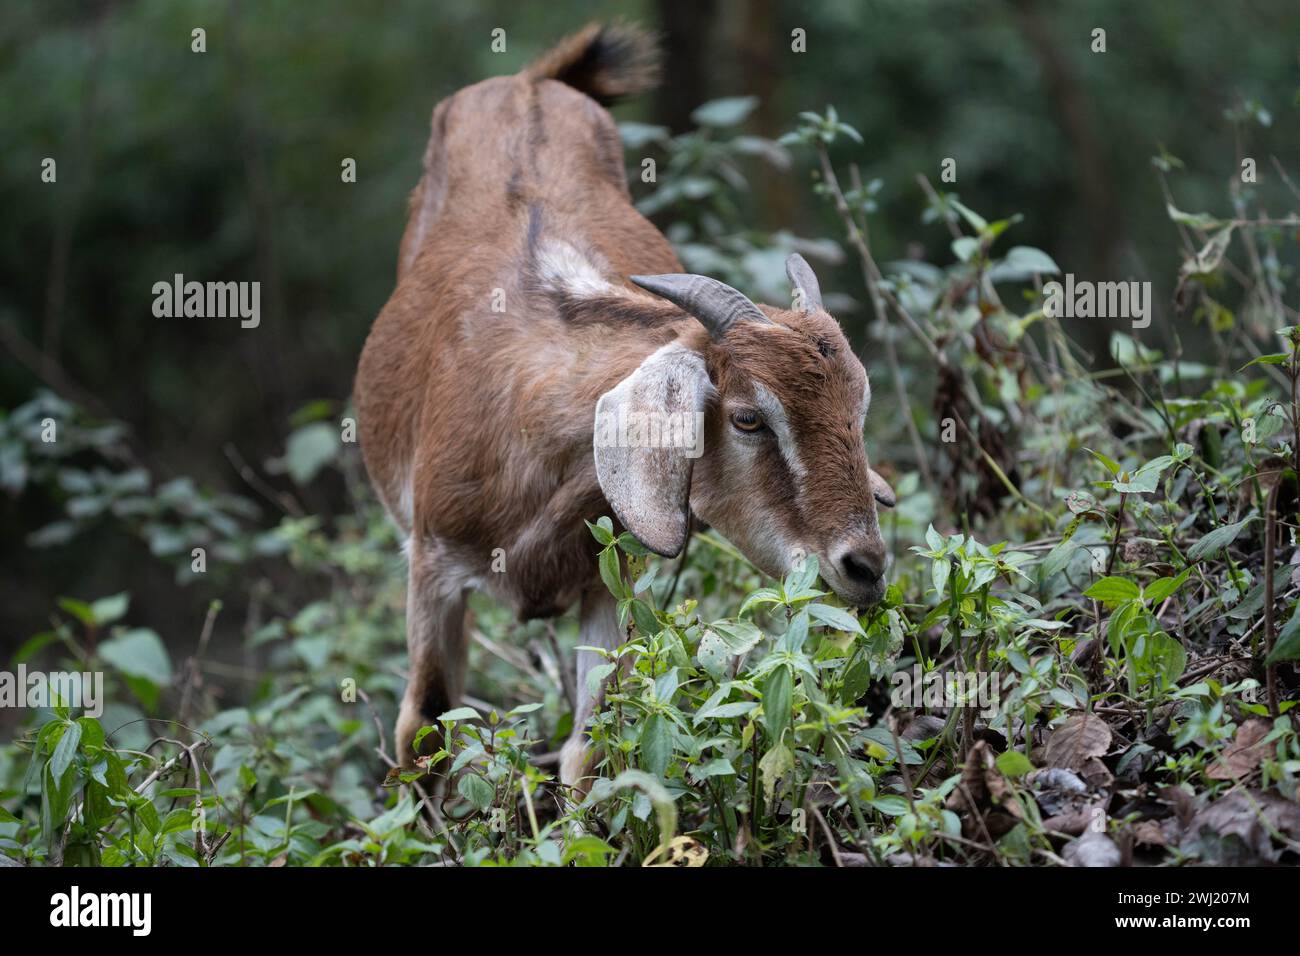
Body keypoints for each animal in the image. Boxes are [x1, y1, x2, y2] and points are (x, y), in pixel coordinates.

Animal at [353, 23, 896, 791]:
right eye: (748, 417)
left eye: (858, 408)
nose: (865, 568)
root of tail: (529, 81)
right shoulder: (431, 565)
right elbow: (423, 728)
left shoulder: (609, 577)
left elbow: (591, 746)